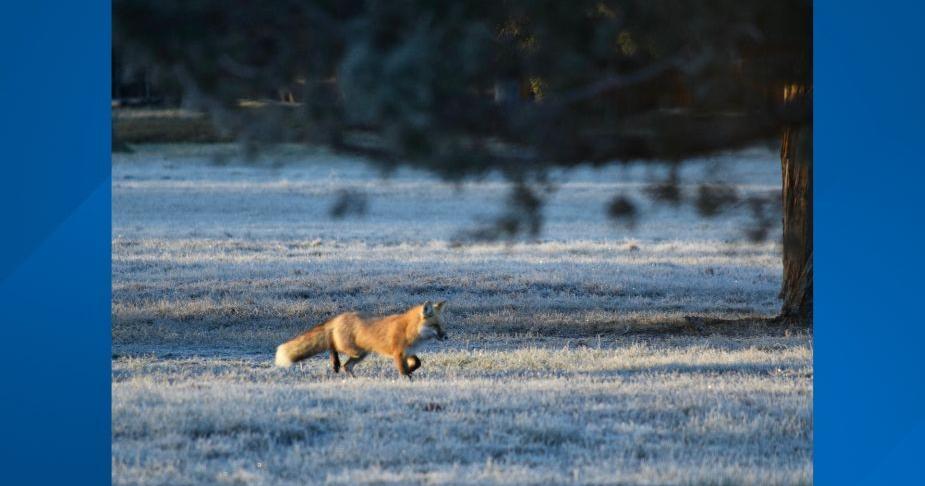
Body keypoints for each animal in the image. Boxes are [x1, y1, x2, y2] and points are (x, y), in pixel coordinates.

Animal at [274, 300, 448, 380]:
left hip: (360, 354)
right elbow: (404, 372)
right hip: (355, 350)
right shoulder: (398, 354)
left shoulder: (408, 353)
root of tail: (338, 317)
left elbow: (417, 363)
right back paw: (334, 363)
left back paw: (352, 378)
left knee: (347, 366)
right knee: (332, 345)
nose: (446, 336)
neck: (409, 330)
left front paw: (411, 371)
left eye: (442, 325)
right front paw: (408, 379)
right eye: (435, 326)